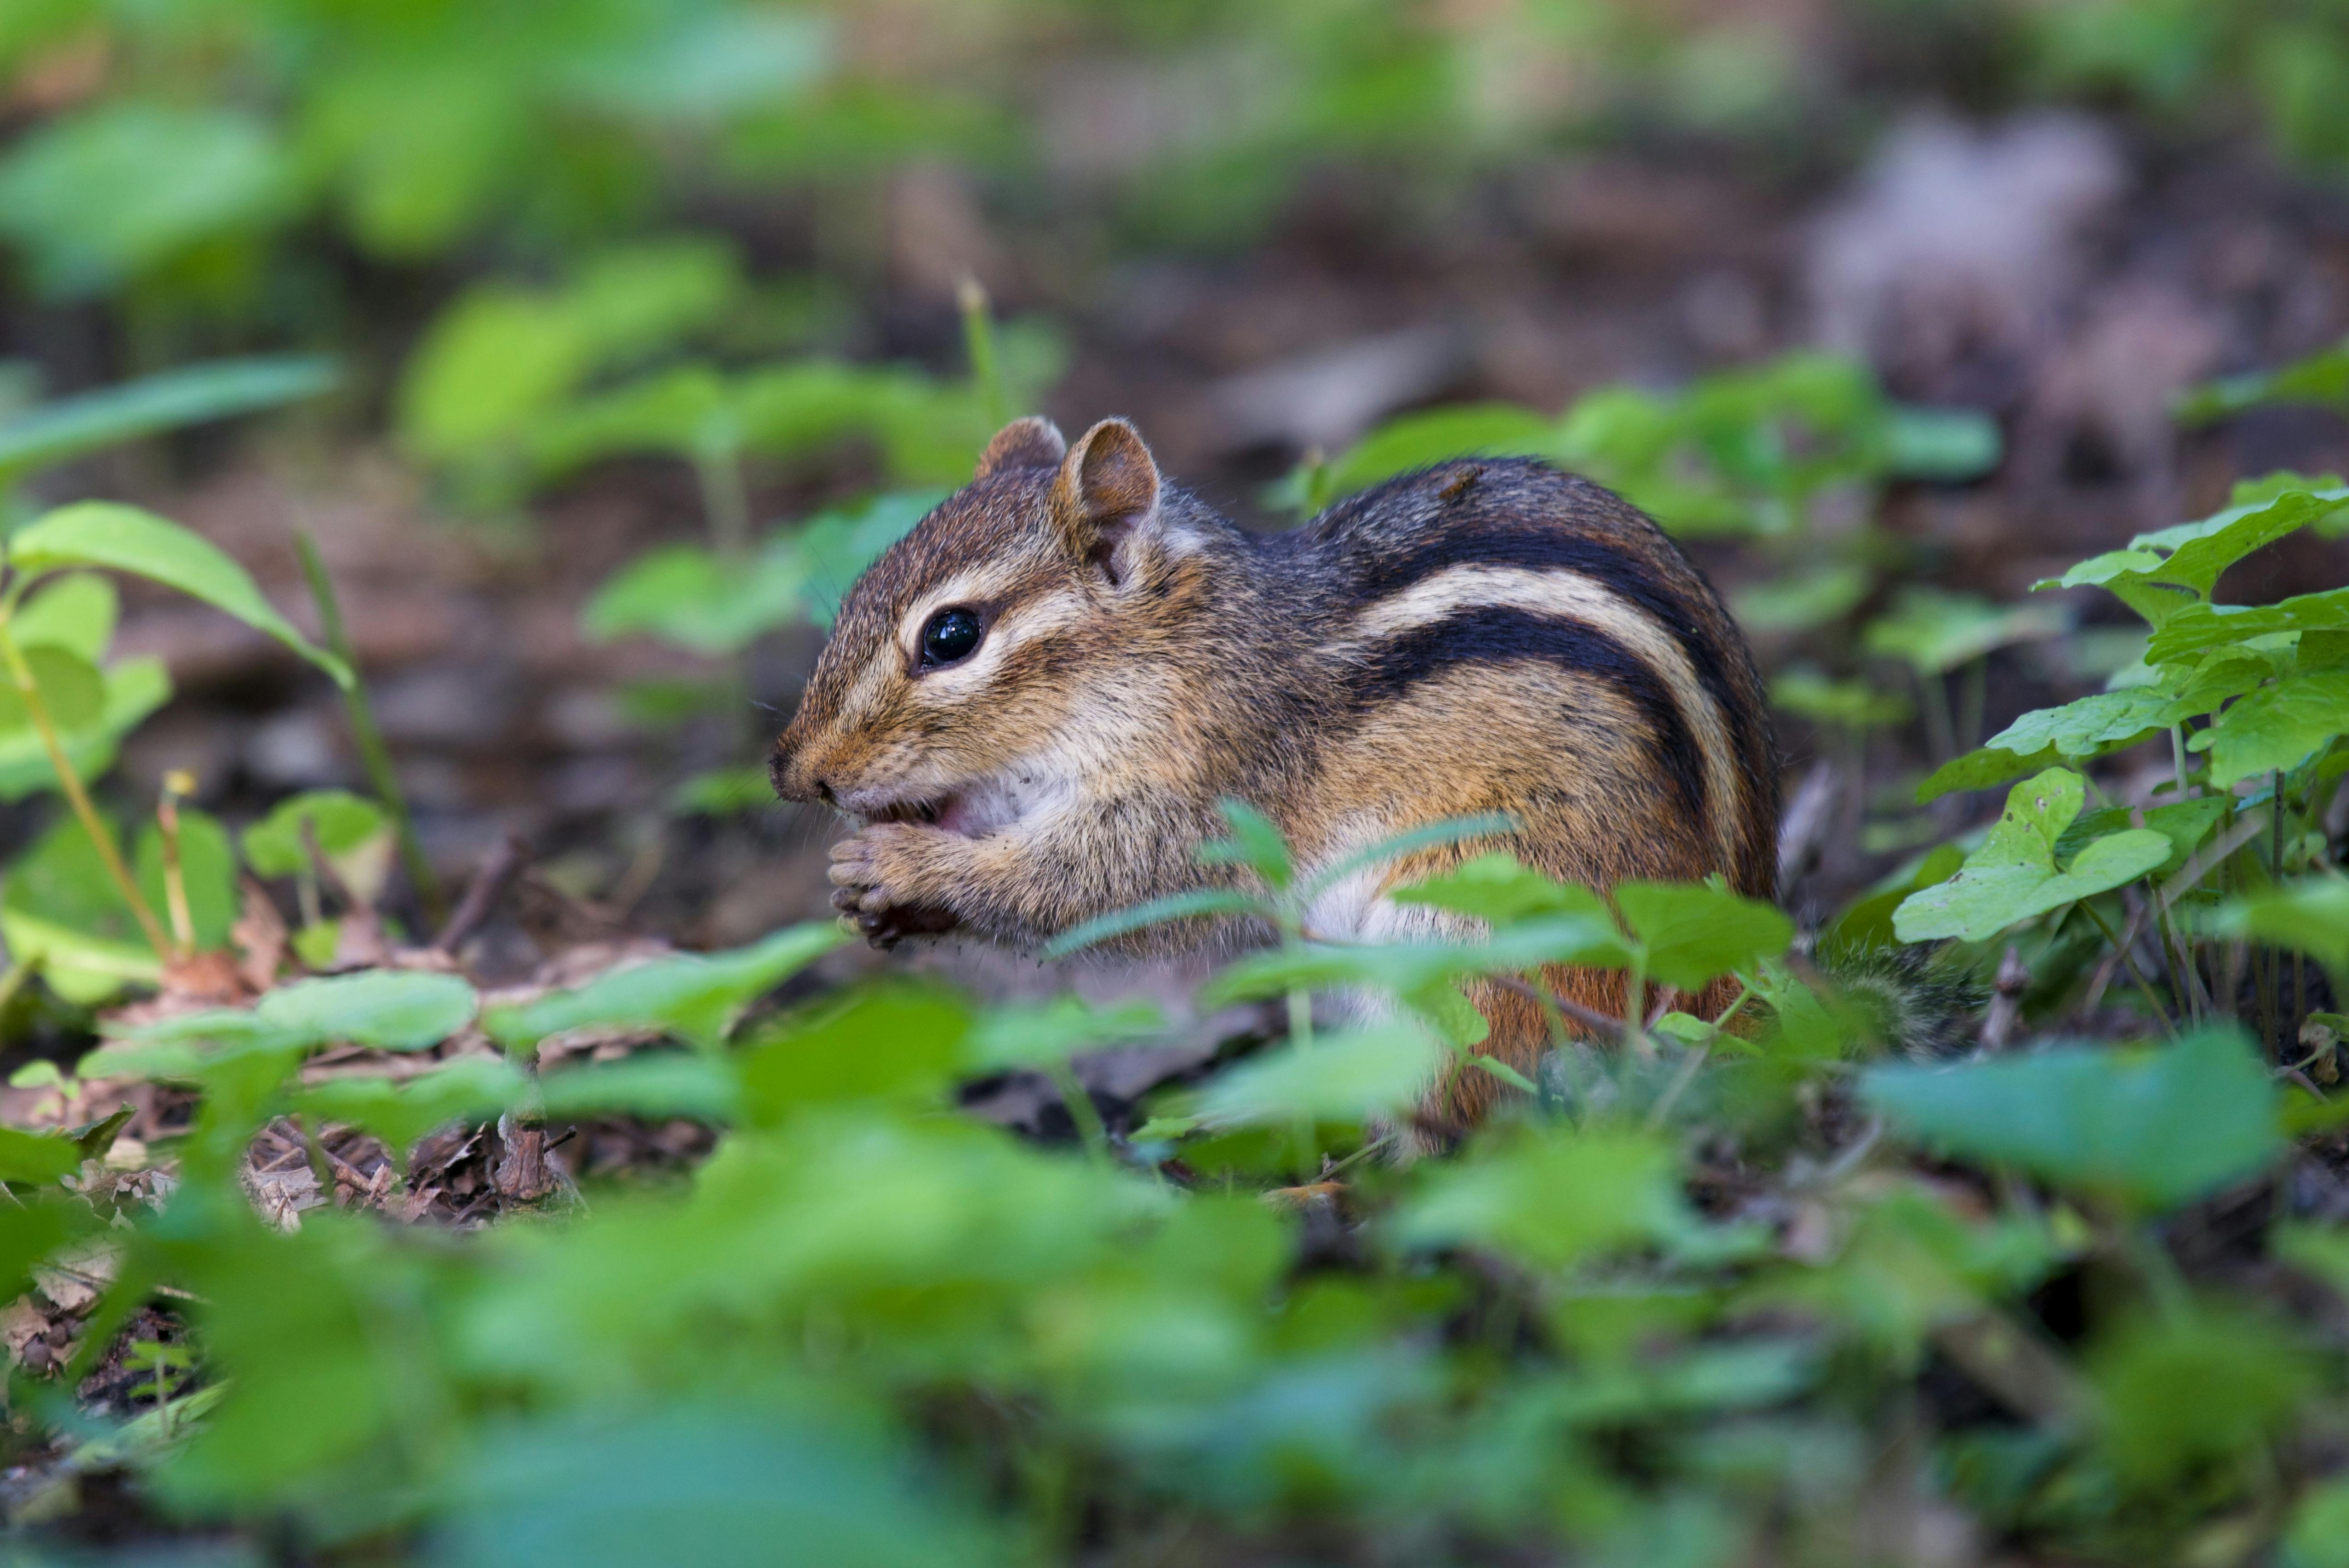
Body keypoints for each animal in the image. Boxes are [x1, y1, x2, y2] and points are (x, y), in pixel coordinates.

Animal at [770, 415, 1780, 1131]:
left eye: (951, 636)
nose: (793, 774)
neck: (1180, 646)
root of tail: (1734, 981)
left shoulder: (1205, 791)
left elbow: (1095, 885)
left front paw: (904, 866)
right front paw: (866, 886)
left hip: (1469, 942)